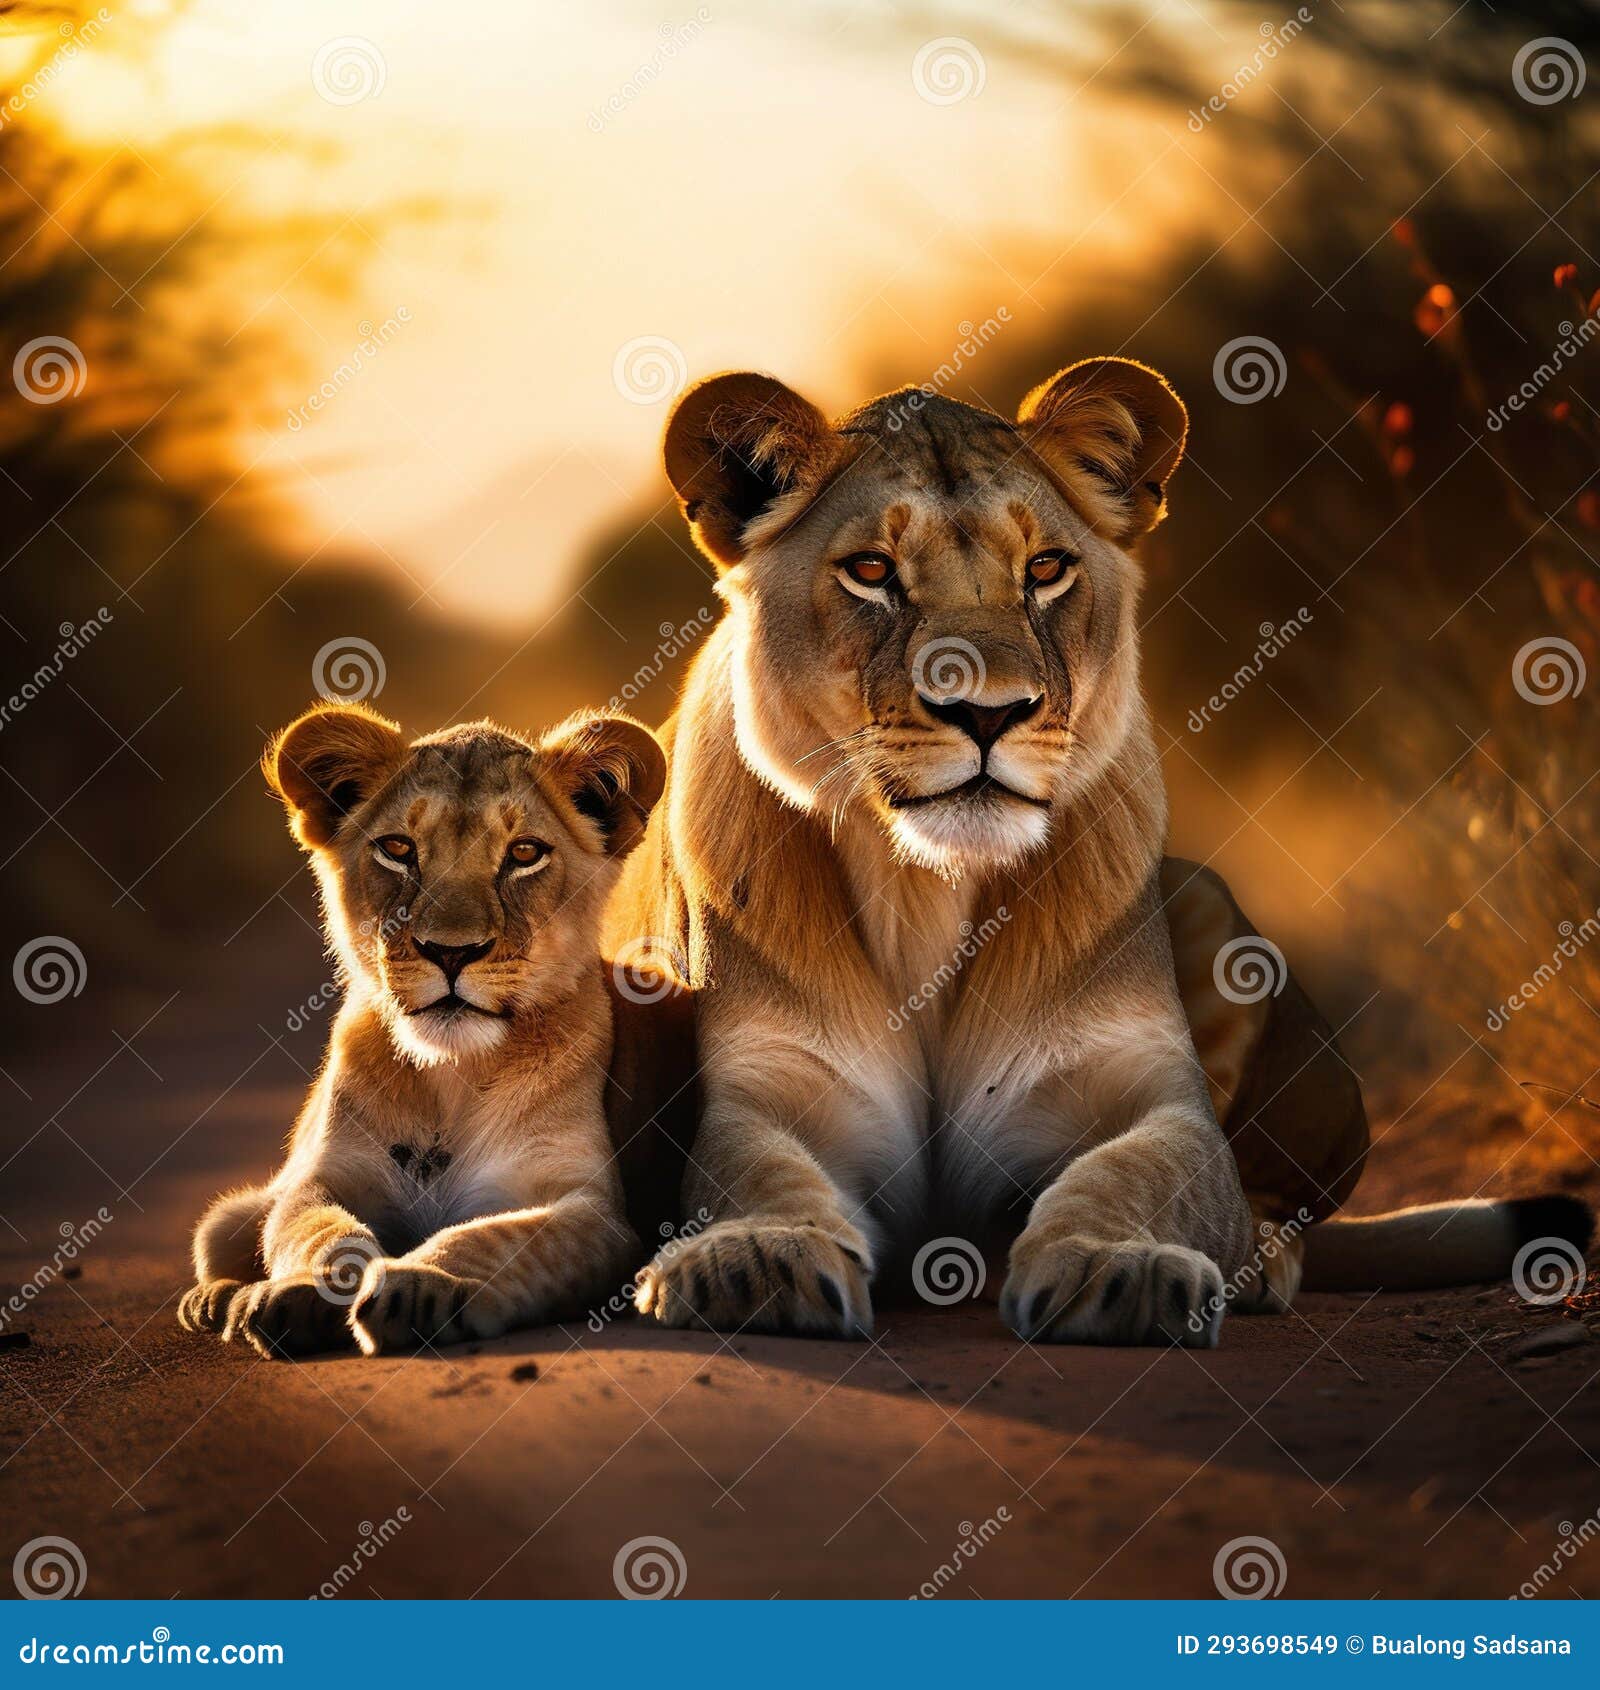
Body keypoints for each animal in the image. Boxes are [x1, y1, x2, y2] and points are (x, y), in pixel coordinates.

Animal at [178, 702, 669, 1358]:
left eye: (524, 853)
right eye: (397, 848)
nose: (450, 951)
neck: (452, 1077)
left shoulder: (591, 1210)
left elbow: (495, 1238)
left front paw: (418, 1285)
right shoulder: (323, 1178)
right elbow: (317, 1231)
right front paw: (291, 1295)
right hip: (231, 1213)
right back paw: (211, 1302)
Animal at [610, 361, 1593, 1345]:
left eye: (1045, 569)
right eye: (871, 572)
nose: (988, 712)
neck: (927, 890)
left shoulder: (1147, 1097)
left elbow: (1141, 1174)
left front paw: (1117, 1265)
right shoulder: (771, 1091)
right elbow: (758, 1175)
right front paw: (755, 1256)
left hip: (1209, 908)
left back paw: (1259, 1267)